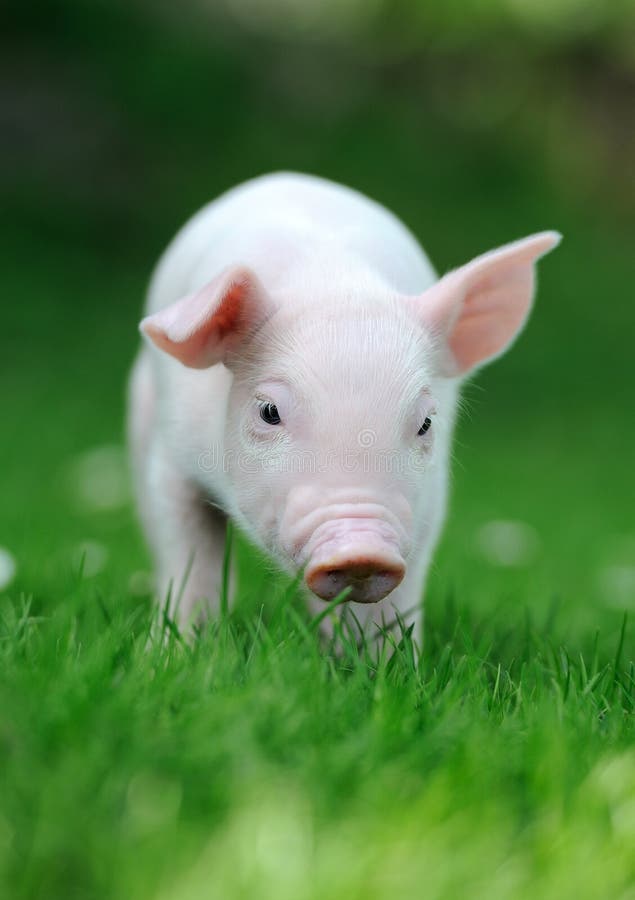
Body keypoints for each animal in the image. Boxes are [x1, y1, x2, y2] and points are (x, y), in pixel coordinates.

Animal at [128, 172, 560, 647]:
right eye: (269, 411)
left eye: (426, 423)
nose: (361, 550)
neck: (333, 281)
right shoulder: (171, 458)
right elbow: (190, 562)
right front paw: (173, 651)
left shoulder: (429, 502)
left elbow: (393, 601)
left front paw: (382, 662)